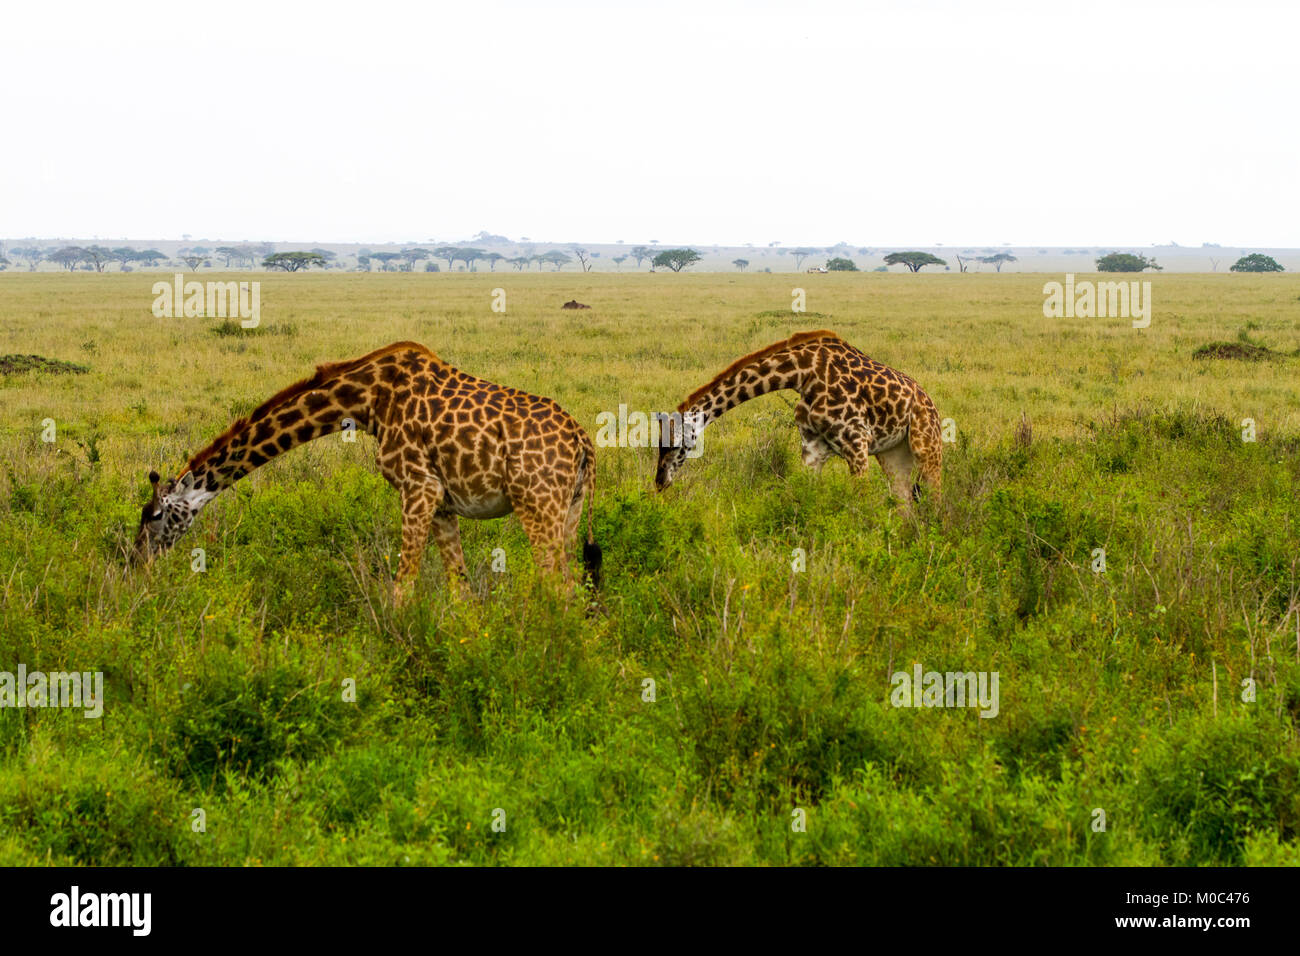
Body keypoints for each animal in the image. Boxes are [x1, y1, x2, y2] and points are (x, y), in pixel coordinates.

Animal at [133, 341, 602, 600]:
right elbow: (460, 589)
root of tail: (583, 441)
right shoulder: (442, 502)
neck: (368, 401)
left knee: (557, 586)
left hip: (536, 505)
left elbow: (403, 587)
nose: (136, 563)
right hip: (570, 509)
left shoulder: (417, 488)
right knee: (571, 586)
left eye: (154, 517)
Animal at [655, 330, 942, 509]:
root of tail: (930, 402)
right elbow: (803, 495)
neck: (803, 374)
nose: (659, 483)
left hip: (926, 445)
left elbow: (862, 501)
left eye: (674, 445)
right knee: (904, 501)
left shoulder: (857, 442)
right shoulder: (813, 446)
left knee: (935, 497)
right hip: (893, 453)